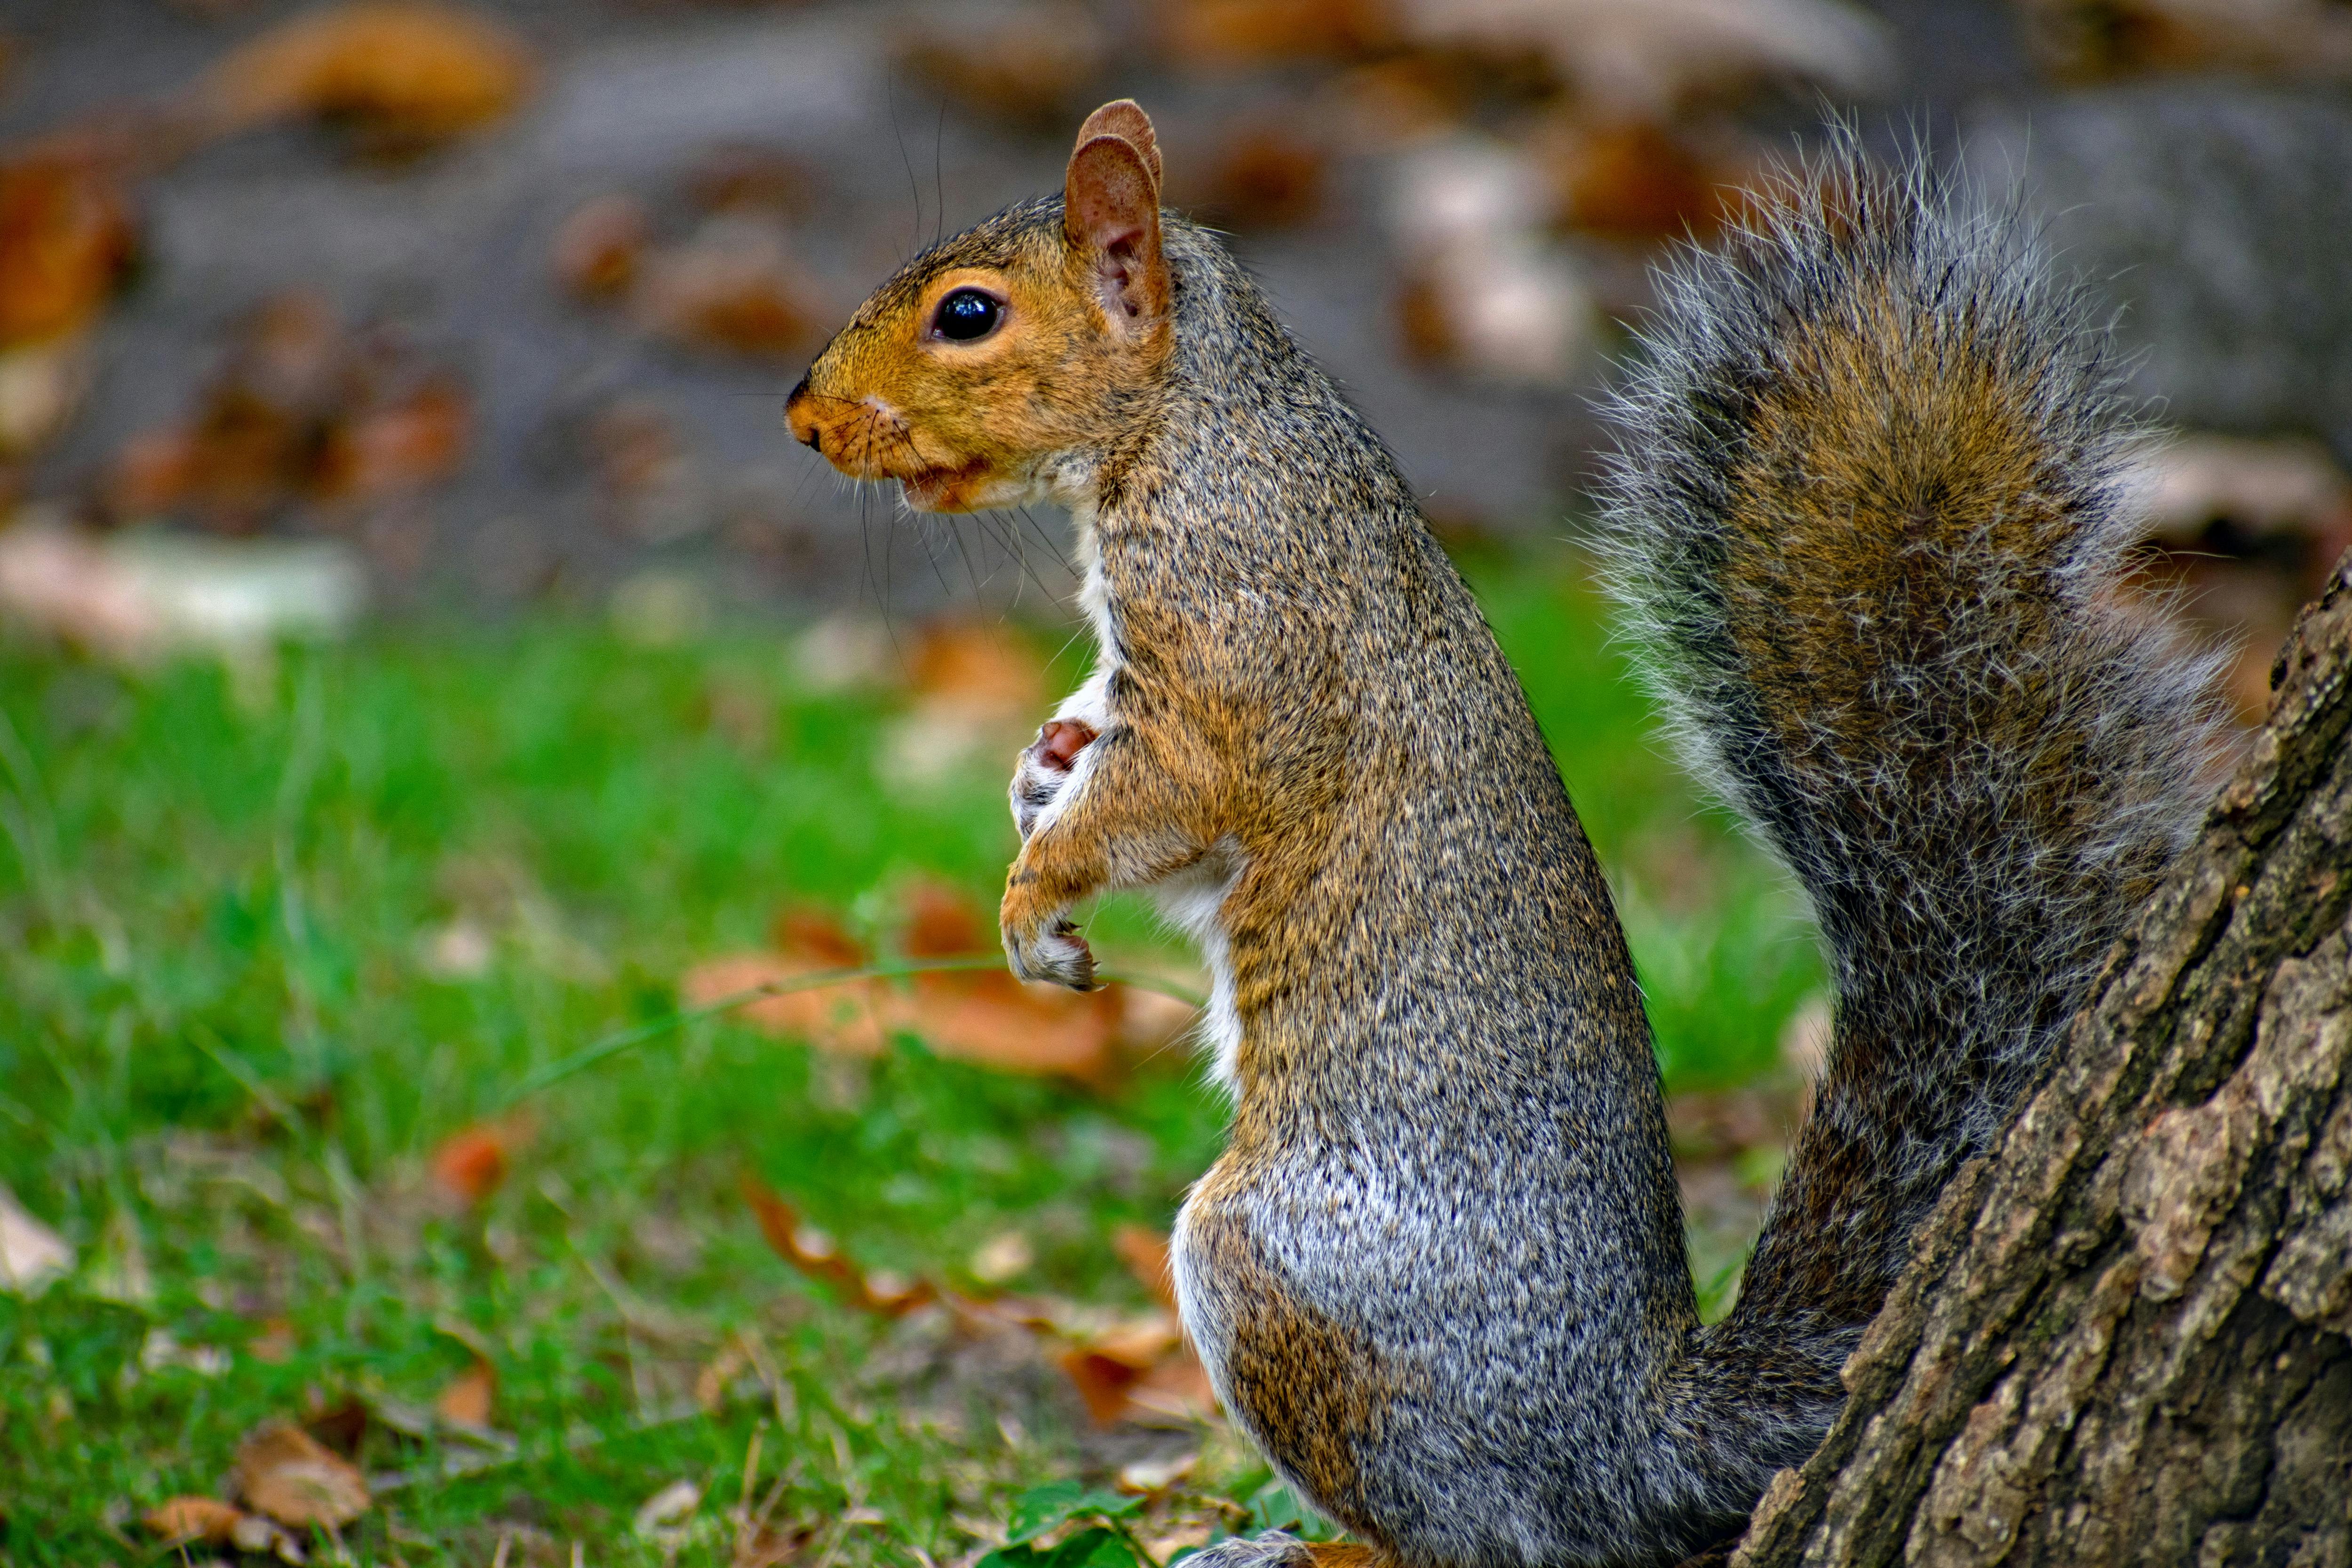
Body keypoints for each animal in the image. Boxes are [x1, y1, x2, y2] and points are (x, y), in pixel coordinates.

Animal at [784, 104, 2225, 1567]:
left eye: (969, 315)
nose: (804, 418)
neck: (1200, 423)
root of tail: (1629, 1439)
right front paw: (1042, 770)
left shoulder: (1237, 632)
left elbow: (1174, 795)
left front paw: (1033, 901)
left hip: (1279, 1270)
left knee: (1468, 1535)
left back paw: (1313, 1543)